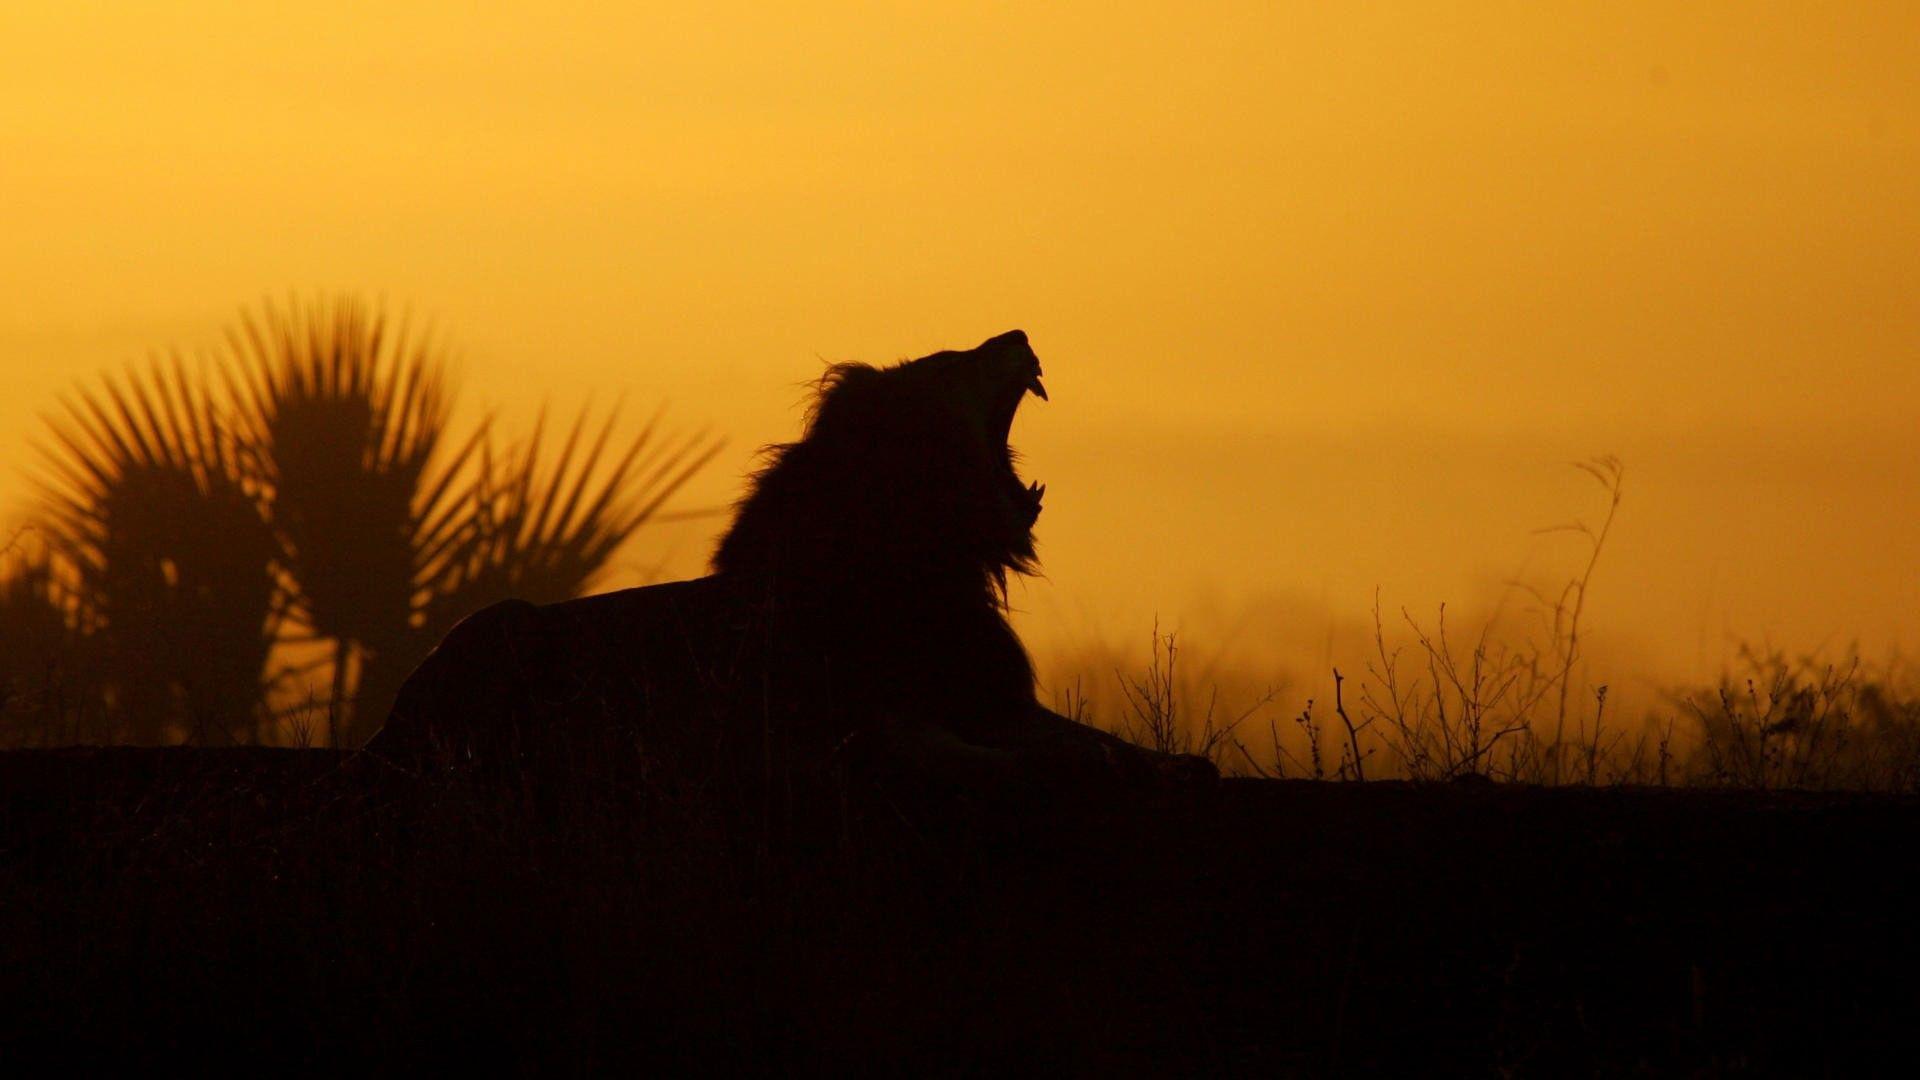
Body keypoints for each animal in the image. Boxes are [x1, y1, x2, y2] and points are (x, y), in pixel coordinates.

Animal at [364, 330, 1213, 815]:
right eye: (953, 363)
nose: (1020, 333)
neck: (935, 571)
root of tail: (384, 726)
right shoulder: (859, 727)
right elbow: (1002, 761)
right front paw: (1069, 773)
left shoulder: (990, 699)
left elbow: (1099, 741)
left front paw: (1171, 765)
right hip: (503, 622)